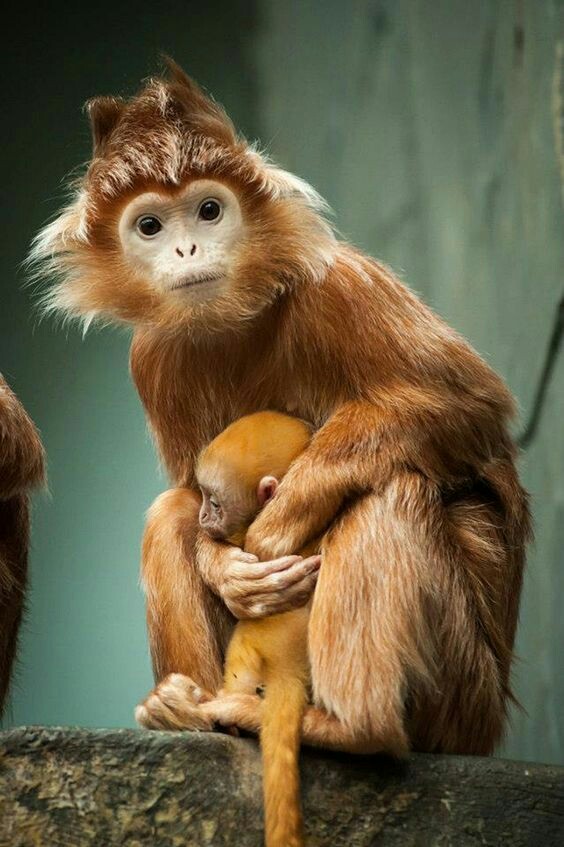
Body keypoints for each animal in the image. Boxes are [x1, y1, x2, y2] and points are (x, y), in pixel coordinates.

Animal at [30, 60, 530, 759]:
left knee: (387, 487)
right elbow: (194, 498)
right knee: (169, 513)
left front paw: (282, 517)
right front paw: (226, 570)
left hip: (463, 703)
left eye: (210, 211)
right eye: (150, 226)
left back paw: (350, 726)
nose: (187, 251)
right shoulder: (152, 356)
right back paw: (183, 709)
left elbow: (467, 401)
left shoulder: (340, 284)